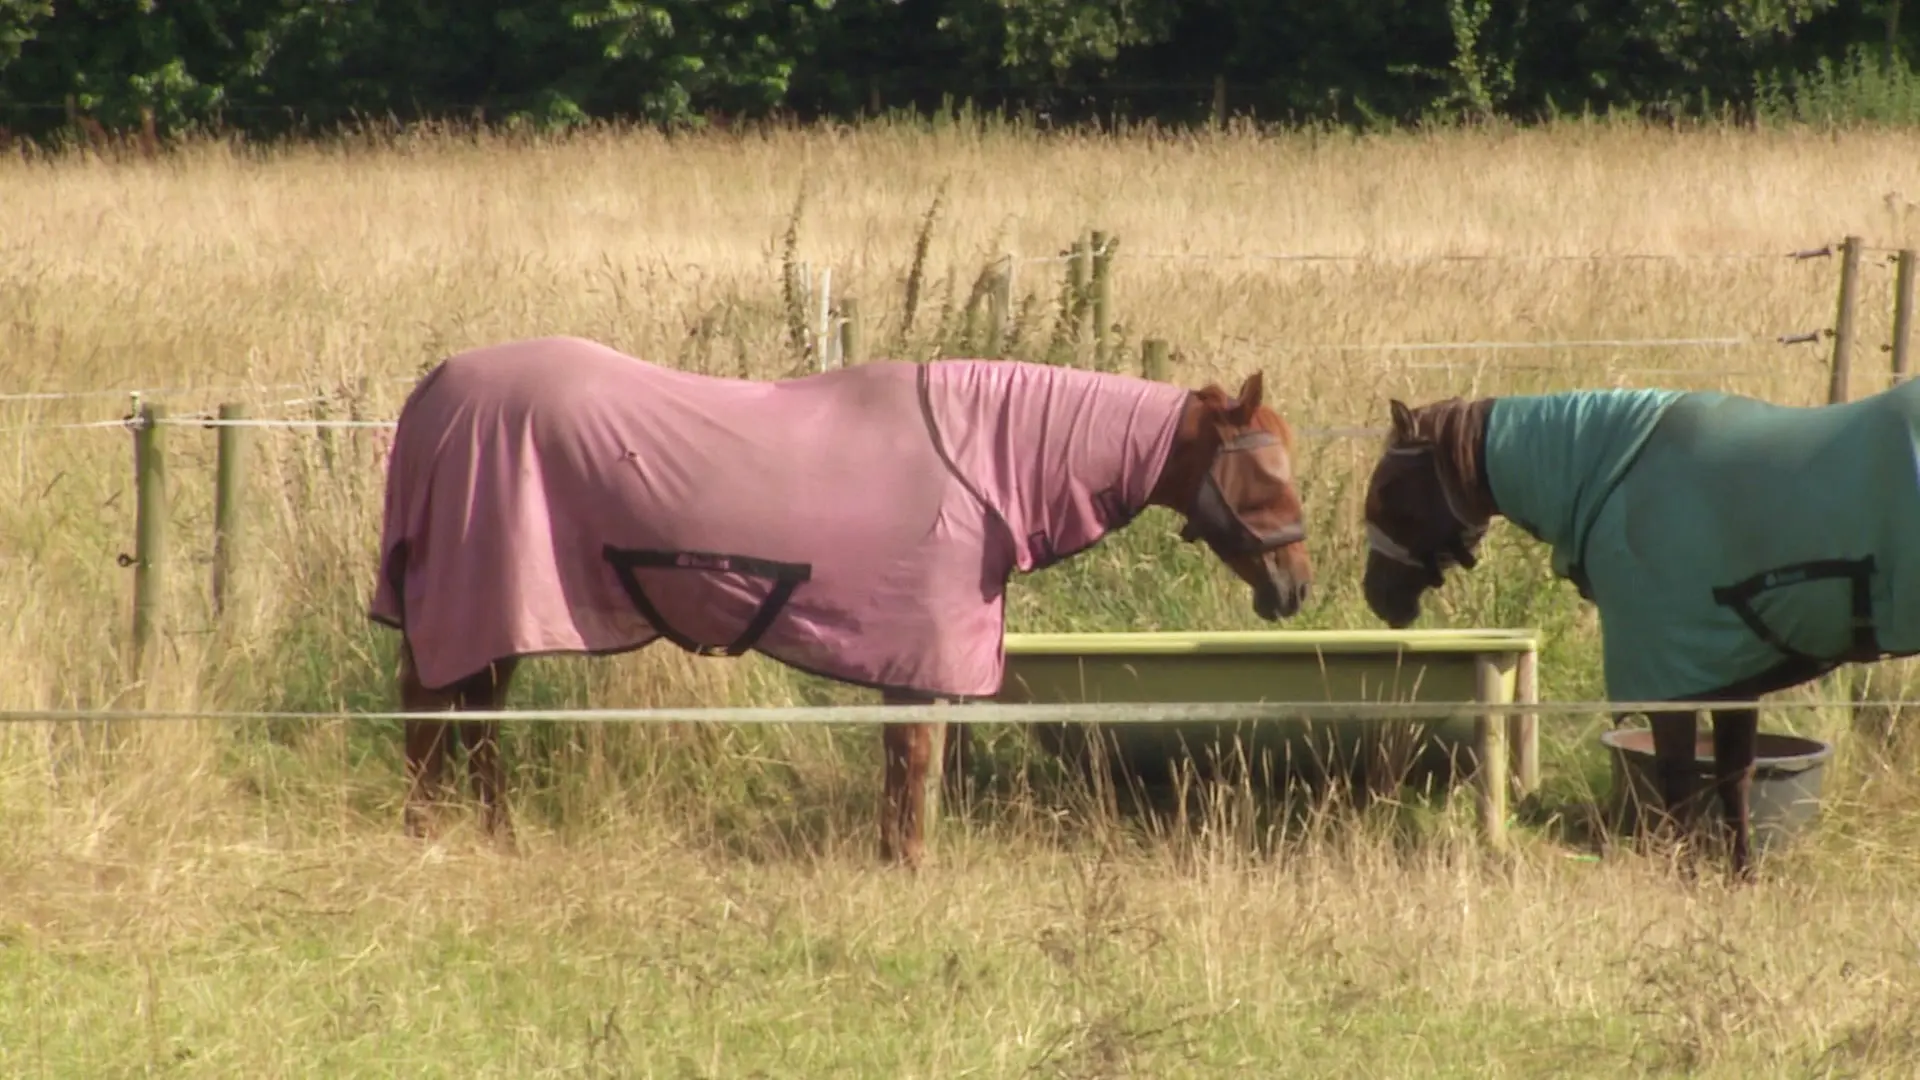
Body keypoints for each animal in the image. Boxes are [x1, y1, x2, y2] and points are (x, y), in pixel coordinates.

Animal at [368, 335, 1314, 865]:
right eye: (1268, 474)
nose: (1296, 588)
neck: (980, 461)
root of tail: (435, 394)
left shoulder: (913, 661)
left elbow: (905, 761)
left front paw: (895, 855)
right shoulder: (922, 649)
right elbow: (918, 759)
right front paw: (912, 864)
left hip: (498, 616)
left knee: (478, 716)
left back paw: (494, 836)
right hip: (473, 605)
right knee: (432, 711)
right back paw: (426, 836)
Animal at [1358, 382, 1920, 879]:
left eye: (1387, 488)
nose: (1377, 595)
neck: (1617, 476)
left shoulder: (1674, 682)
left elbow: (1679, 780)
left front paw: (1685, 876)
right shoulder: (1731, 679)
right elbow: (1732, 777)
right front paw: (1739, 878)